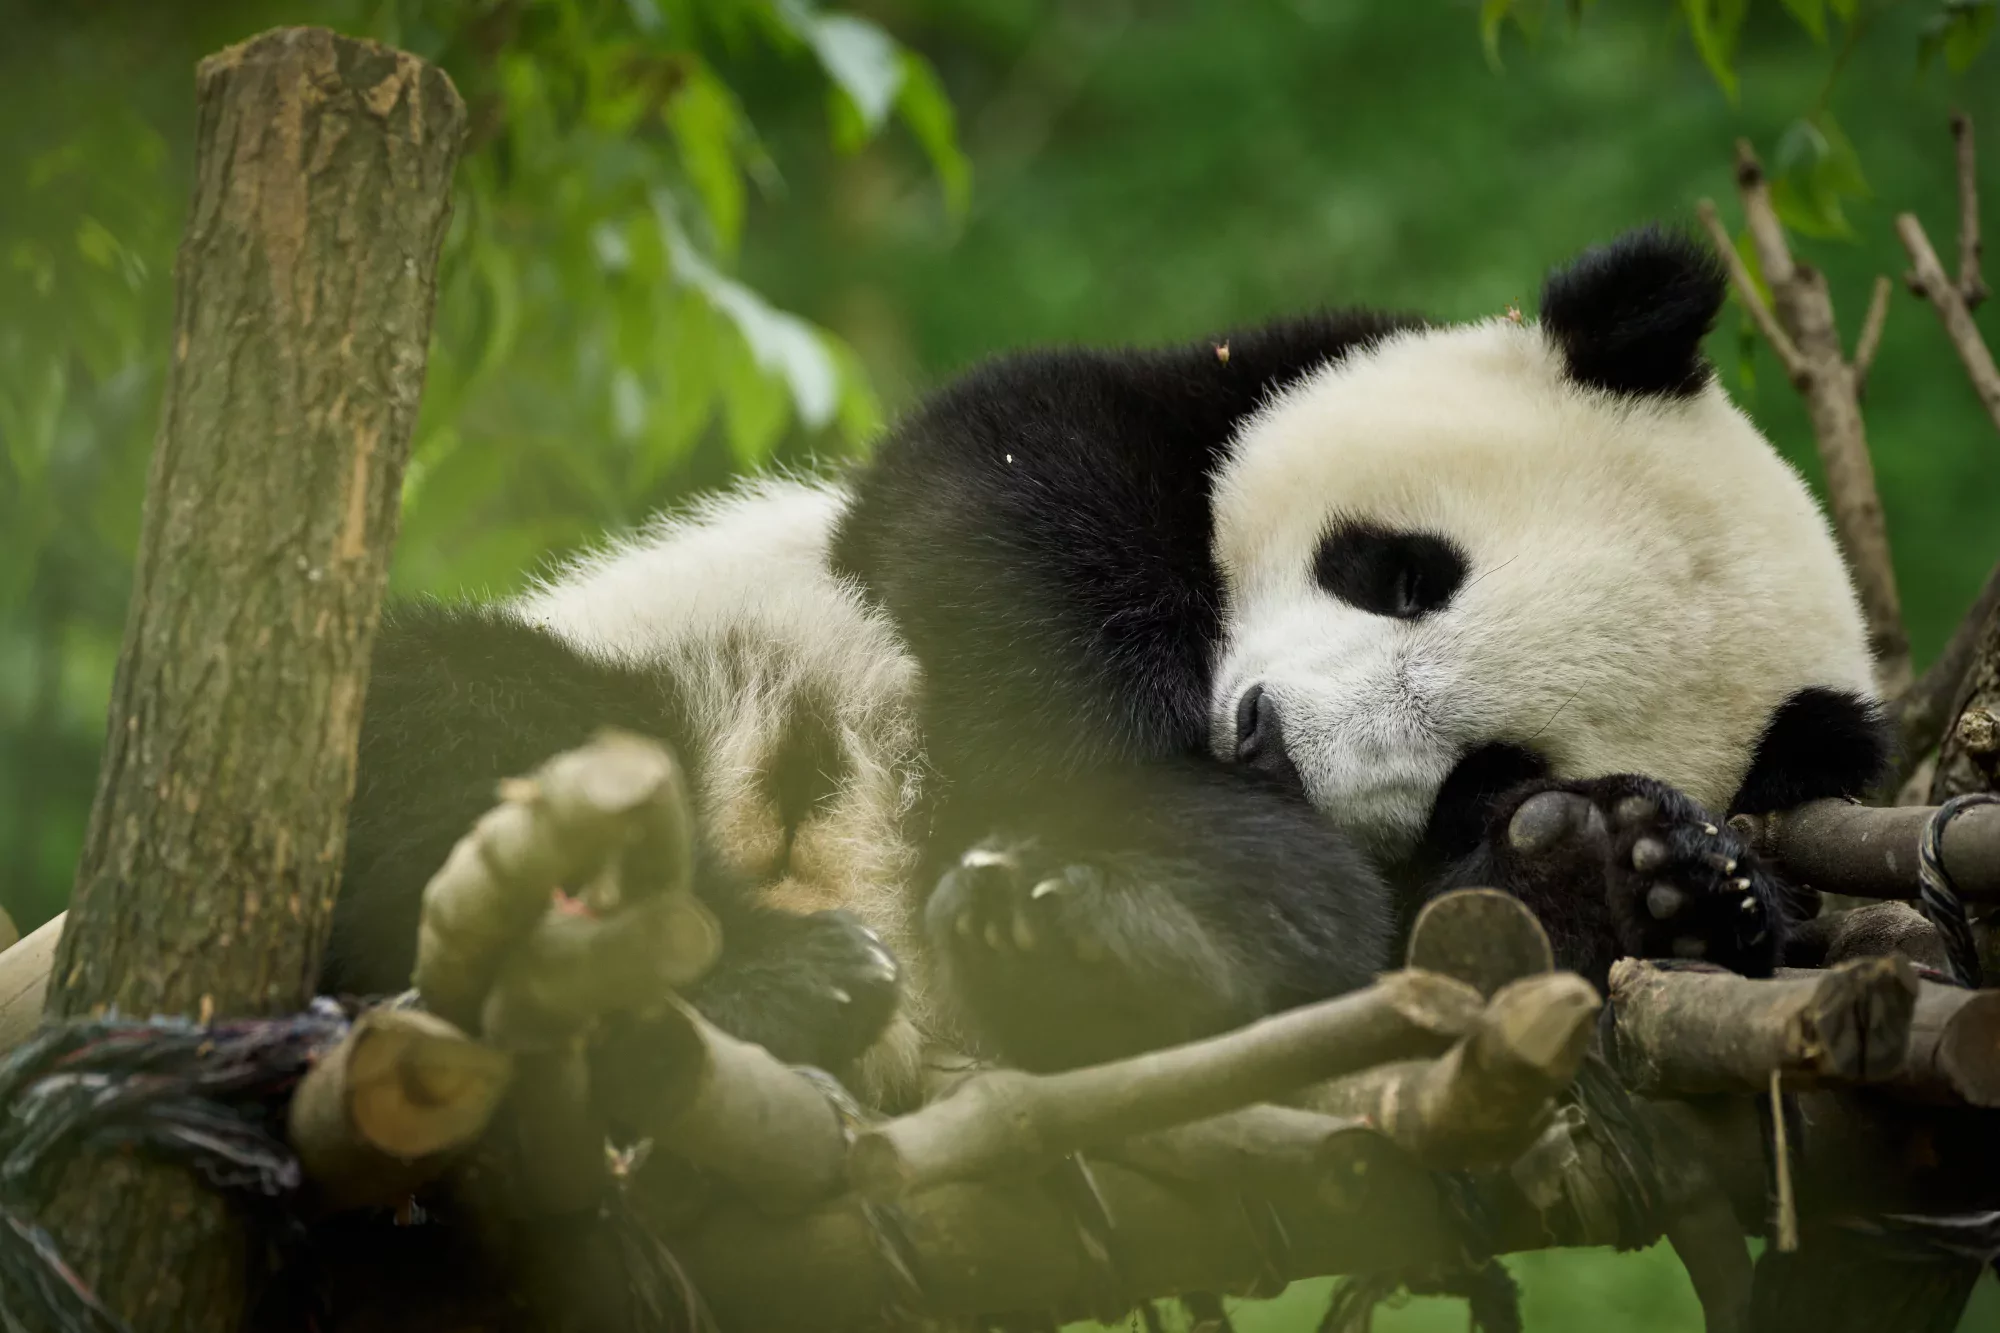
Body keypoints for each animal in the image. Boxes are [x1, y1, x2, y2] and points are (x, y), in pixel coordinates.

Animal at [324, 226, 1891, 1110]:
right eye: (1400, 571)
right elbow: (1010, 497)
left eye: (1486, 769)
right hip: (650, 687)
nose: (1263, 743)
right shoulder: (1178, 402)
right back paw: (782, 972)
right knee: (467, 727)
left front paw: (1632, 869)